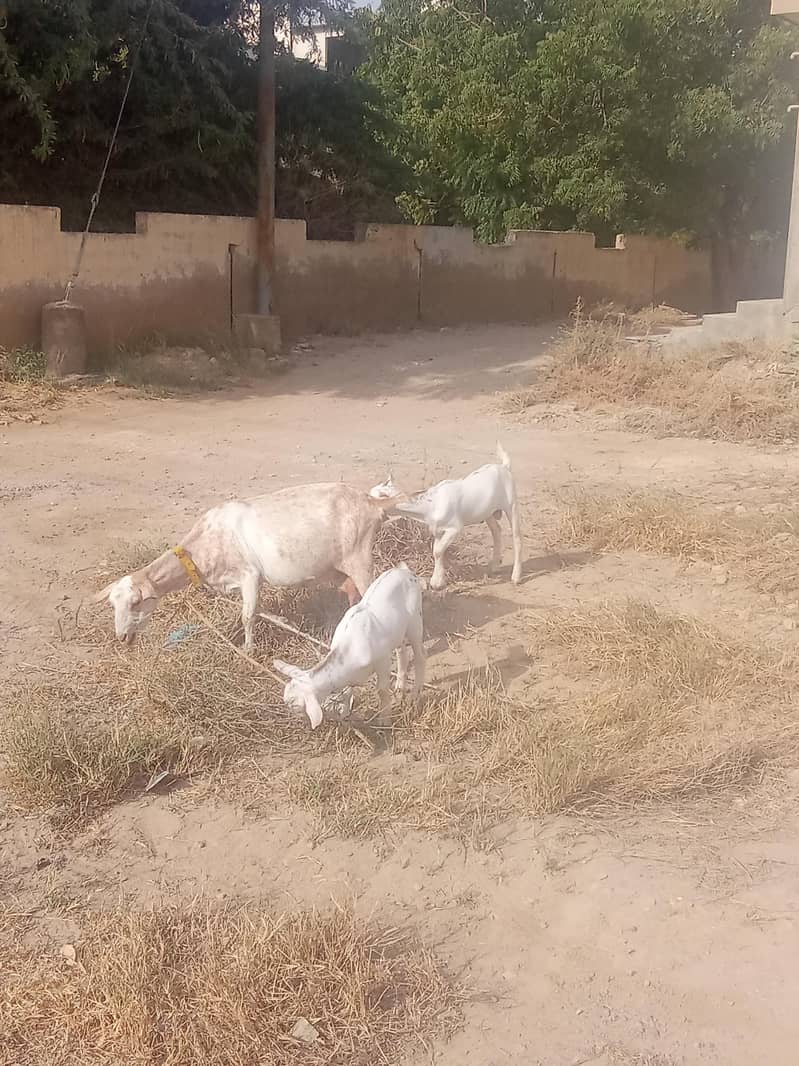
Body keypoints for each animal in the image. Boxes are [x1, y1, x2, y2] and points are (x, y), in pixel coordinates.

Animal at [90, 483, 394, 650]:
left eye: (136, 602)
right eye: (113, 604)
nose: (122, 637)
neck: (204, 544)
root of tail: (371, 502)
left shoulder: (249, 575)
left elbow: (248, 615)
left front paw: (248, 649)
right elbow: (257, 612)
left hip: (360, 556)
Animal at [274, 564, 425, 729]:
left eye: (294, 704)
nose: (290, 716)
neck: (349, 650)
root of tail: (404, 571)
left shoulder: (382, 660)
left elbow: (382, 690)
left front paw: (385, 720)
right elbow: (346, 691)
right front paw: (344, 712)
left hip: (415, 620)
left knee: (420, 657)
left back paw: (415, 695)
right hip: (398, 630)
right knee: (402, 652)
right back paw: (400, 687)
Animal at [370, 443, 522, 590]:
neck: (430, 505)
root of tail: (504, 467)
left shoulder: (454, 528)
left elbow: (438, 551)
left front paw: (436, 583)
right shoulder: (438, 530)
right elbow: (437, 550)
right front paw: (438, 580)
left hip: (511, 504)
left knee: (516, 537)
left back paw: (516, 576)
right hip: (488, 512)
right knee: (497, 531)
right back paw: (495, 566)